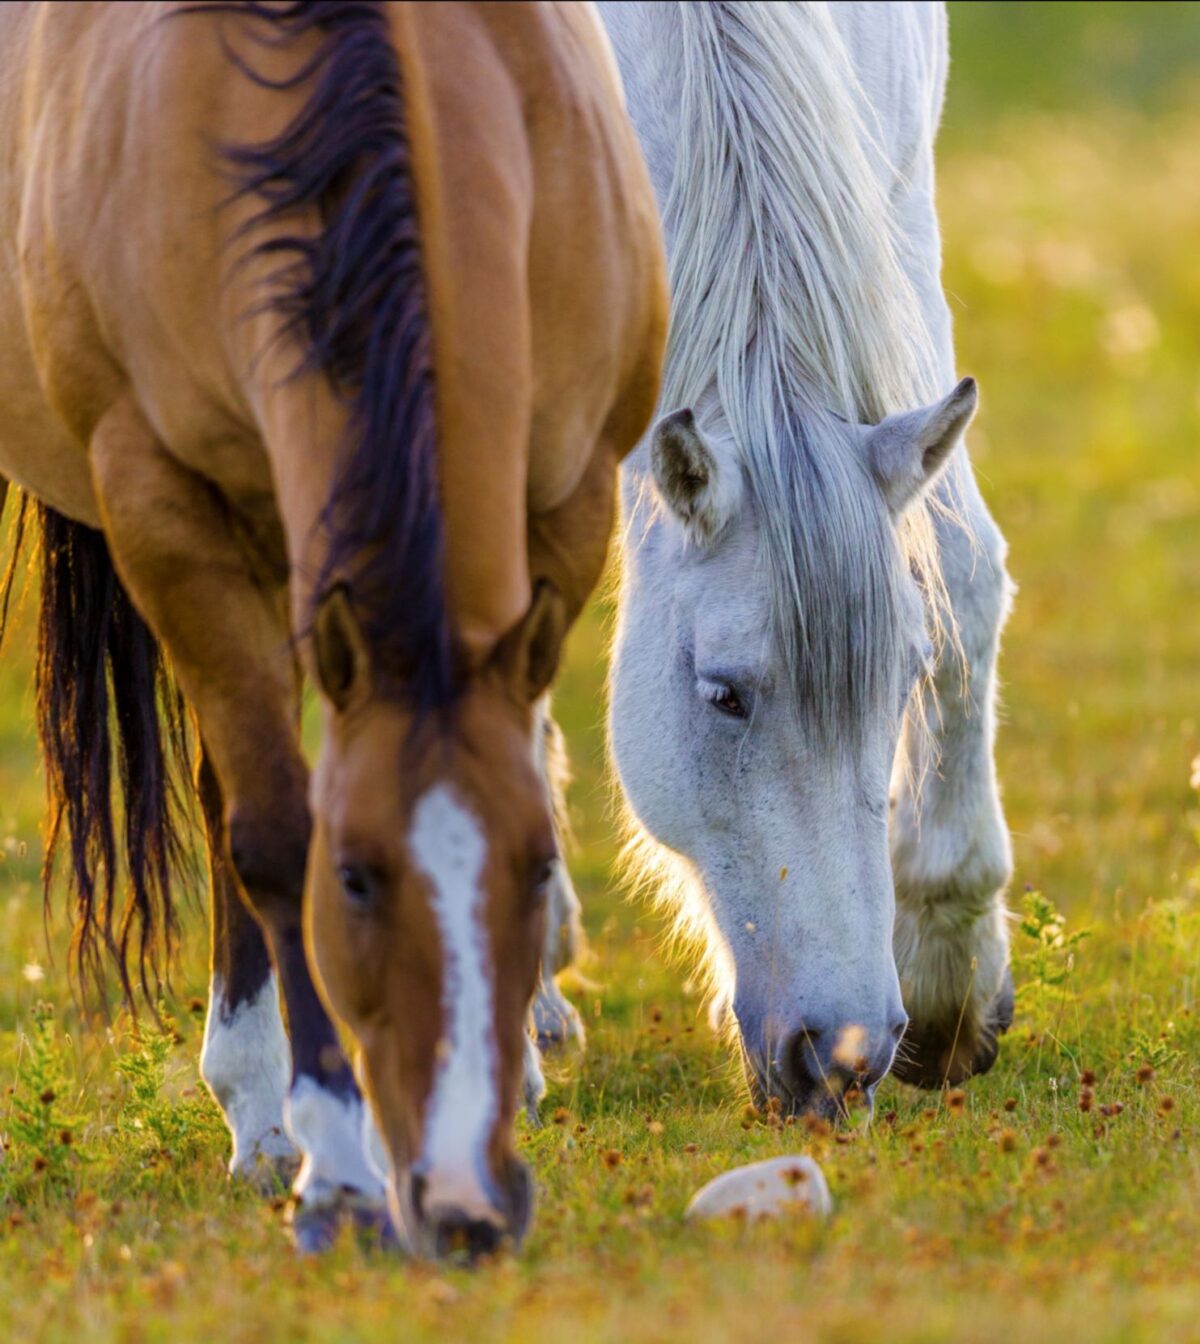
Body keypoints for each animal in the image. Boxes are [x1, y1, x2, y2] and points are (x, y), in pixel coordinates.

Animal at [0, 0, 665, 1257]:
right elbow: (268, 829)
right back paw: (262, 1112)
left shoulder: (573, 497)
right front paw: (335, 1165)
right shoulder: (164, 509)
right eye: (353, 880)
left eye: (534, 866)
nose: (463, 1204)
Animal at [571, 0, 1015, 1114]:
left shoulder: (895, 208)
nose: (846, 1053)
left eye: (902, 680)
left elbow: (961, 568)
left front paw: (950, 983)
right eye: (724, 694)